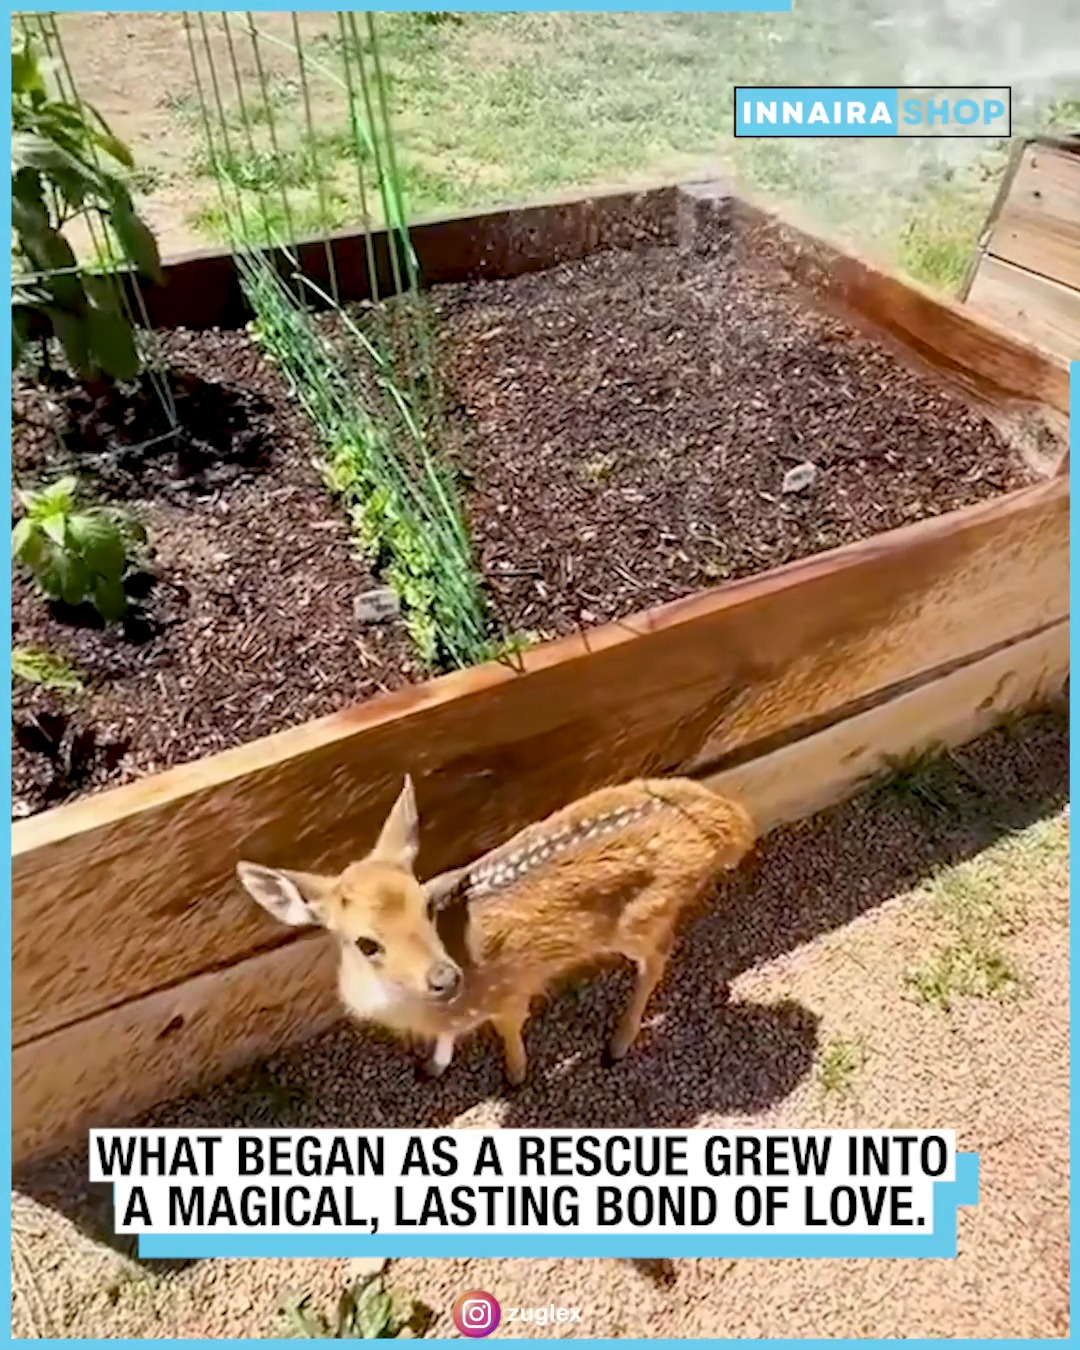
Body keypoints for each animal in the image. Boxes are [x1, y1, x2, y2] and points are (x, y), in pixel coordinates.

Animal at [236, 774, 755, 1087]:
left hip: (640, 919)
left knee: (658, 956)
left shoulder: (509, 990)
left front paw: (516, 1076)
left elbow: (509, 1031)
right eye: (366, 943)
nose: (445, 977)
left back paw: (617, 1045)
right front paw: (432, 1067)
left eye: (424, 907)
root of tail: (732, 821)